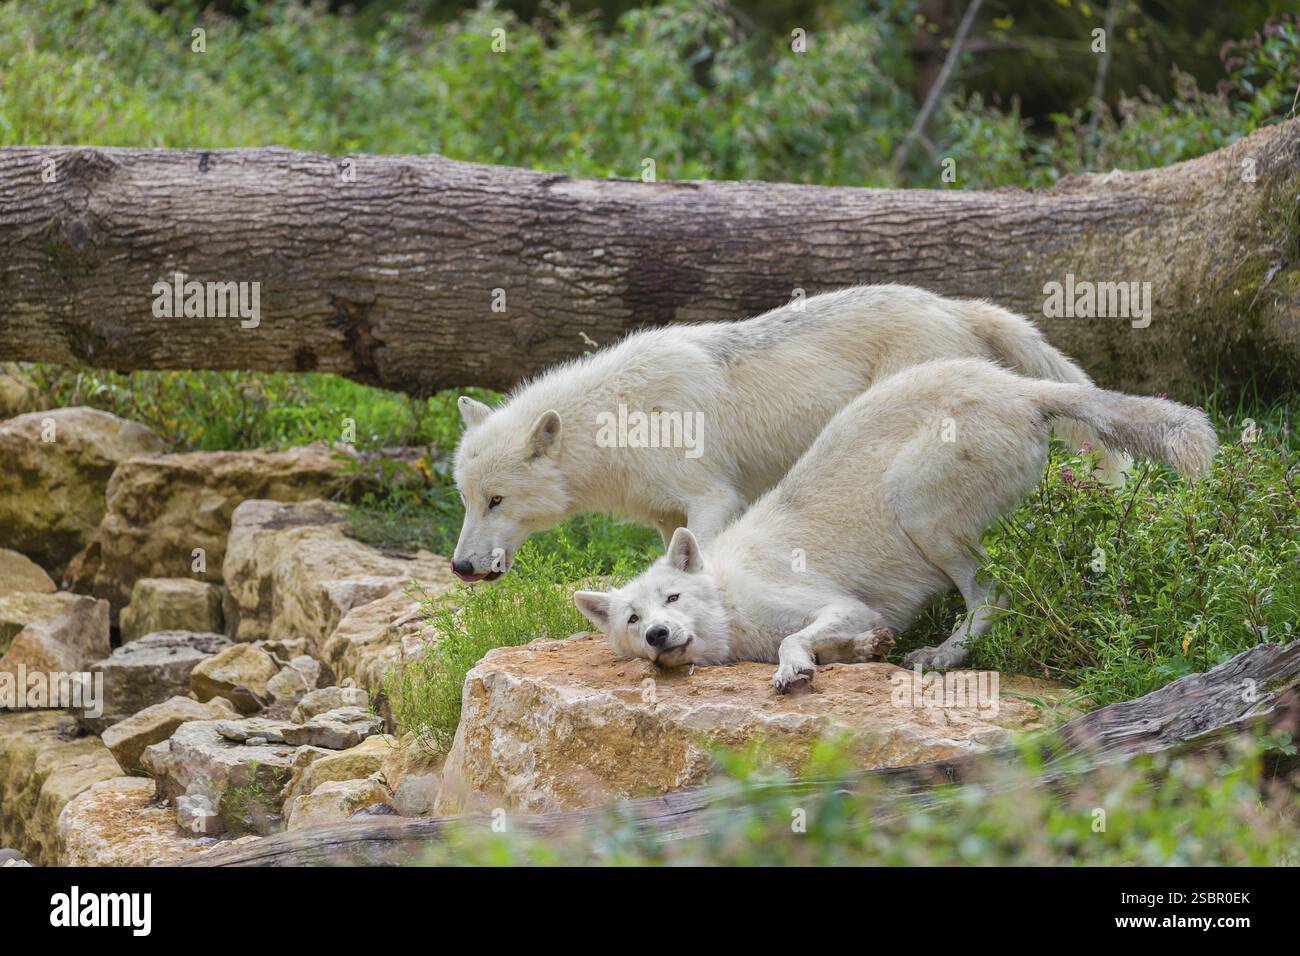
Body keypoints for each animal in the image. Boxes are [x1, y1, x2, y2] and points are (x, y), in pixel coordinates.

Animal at [451, 284, 1131, 581]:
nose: (459, 567)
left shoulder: (713, 498)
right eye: (467, 501)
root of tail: (953, 304)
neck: (615, 422)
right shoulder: (666, 515)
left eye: (497, 501)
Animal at [573, 358, 1217, 691]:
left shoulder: (836, 603)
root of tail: (1018, 387)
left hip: (919, 511)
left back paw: (943, 657)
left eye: (672, 598)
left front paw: (793, 667)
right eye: (633, 620)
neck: (731, 602)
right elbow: (851, 646)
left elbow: (793, 638)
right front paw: (863, 650)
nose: (659, 636)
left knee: (994, 594)